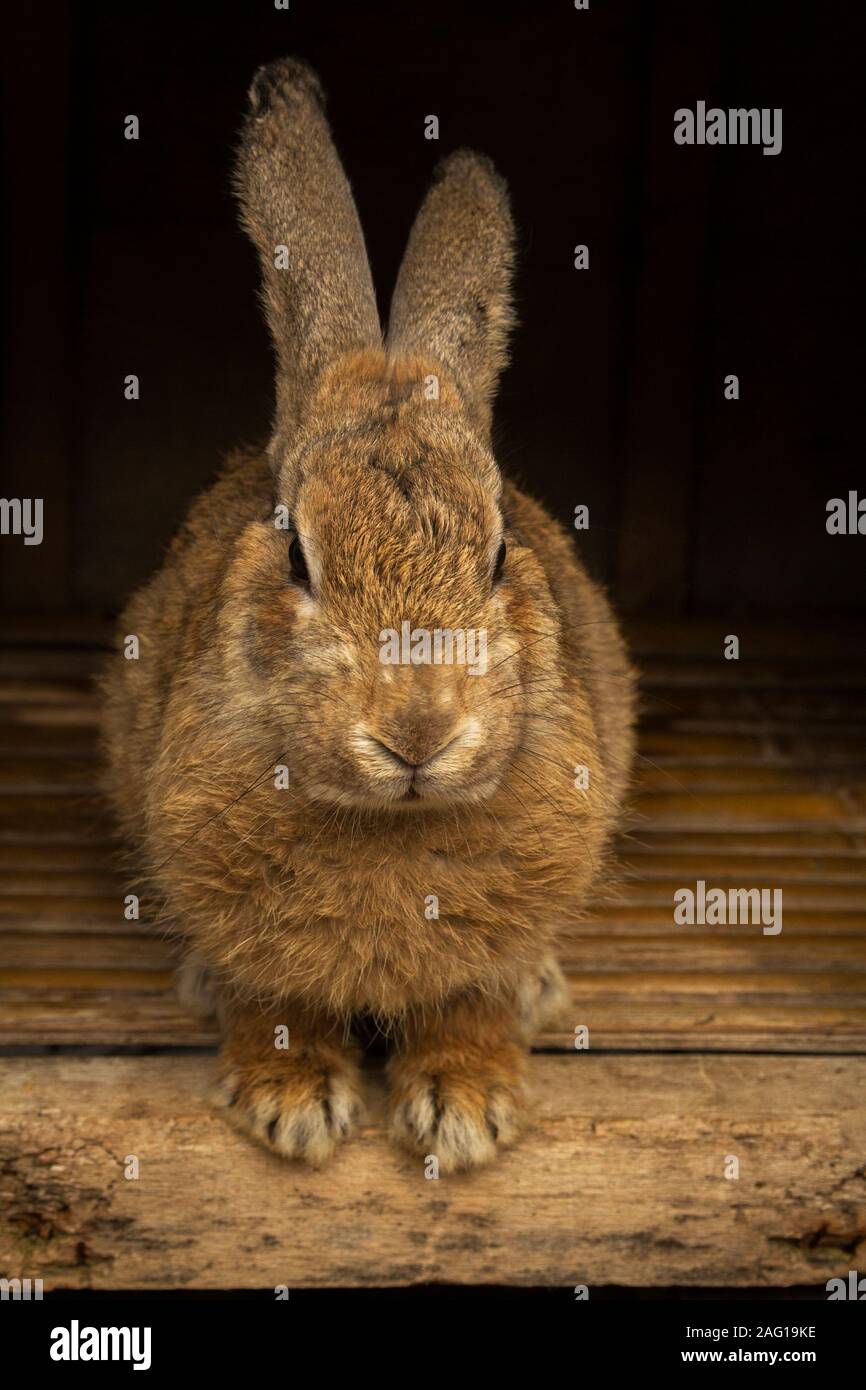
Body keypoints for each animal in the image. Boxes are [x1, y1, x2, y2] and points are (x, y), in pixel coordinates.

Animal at [100, 56, 636, 1173]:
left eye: (496, 553)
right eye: (297, 553)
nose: (418, 732)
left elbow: (469, 1005)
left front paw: (466, 1111)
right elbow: (276, 1005)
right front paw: (292, 1106)